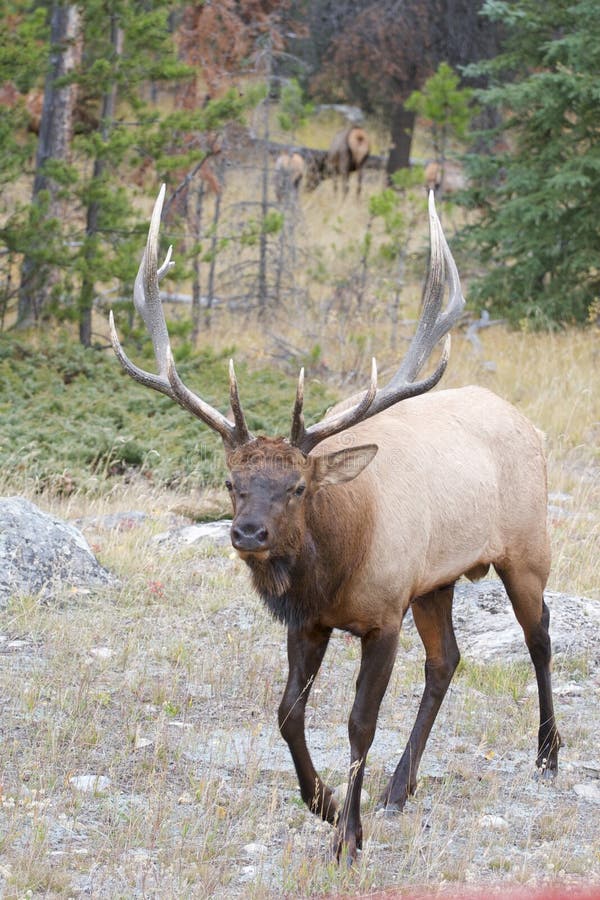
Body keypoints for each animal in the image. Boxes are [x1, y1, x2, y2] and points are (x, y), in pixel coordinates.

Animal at [109, 185, 561, 864]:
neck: (338, 566)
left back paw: (548, 756)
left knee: (540, 638)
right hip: (435, 580)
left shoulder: (383, 615)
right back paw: (399, 789)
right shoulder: (309, 621)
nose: (249, 534)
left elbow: (358, 723)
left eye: (298, 488)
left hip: (527, 547)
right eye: (231, 484)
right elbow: (286, 713)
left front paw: (348, 837)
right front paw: (321, 804)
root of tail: (528, 422)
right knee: (447, 660)